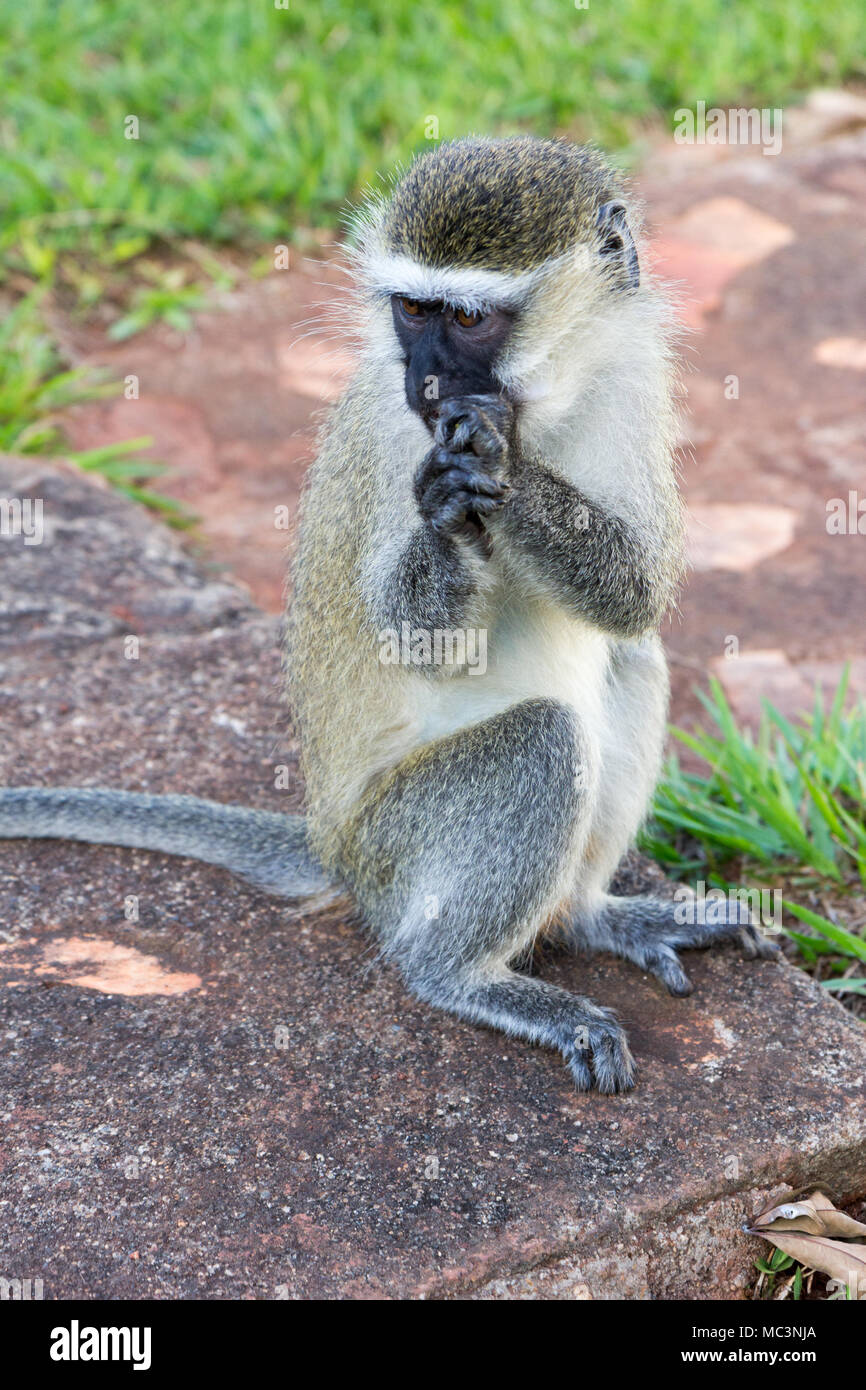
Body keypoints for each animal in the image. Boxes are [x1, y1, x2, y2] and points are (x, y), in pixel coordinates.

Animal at [0, 136, 778, 1092]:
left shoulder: (631, 377)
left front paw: (503, 471)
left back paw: (593, 916)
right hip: (397, 844)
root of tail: (334, 848)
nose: (430, 380)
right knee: (541, 743)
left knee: (633, 654)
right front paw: (455, 500)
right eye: (412, 310)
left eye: (470, 320)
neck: (545, 401)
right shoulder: (389, 432)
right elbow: (419, 637)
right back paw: (464, 976)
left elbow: (638, 591)